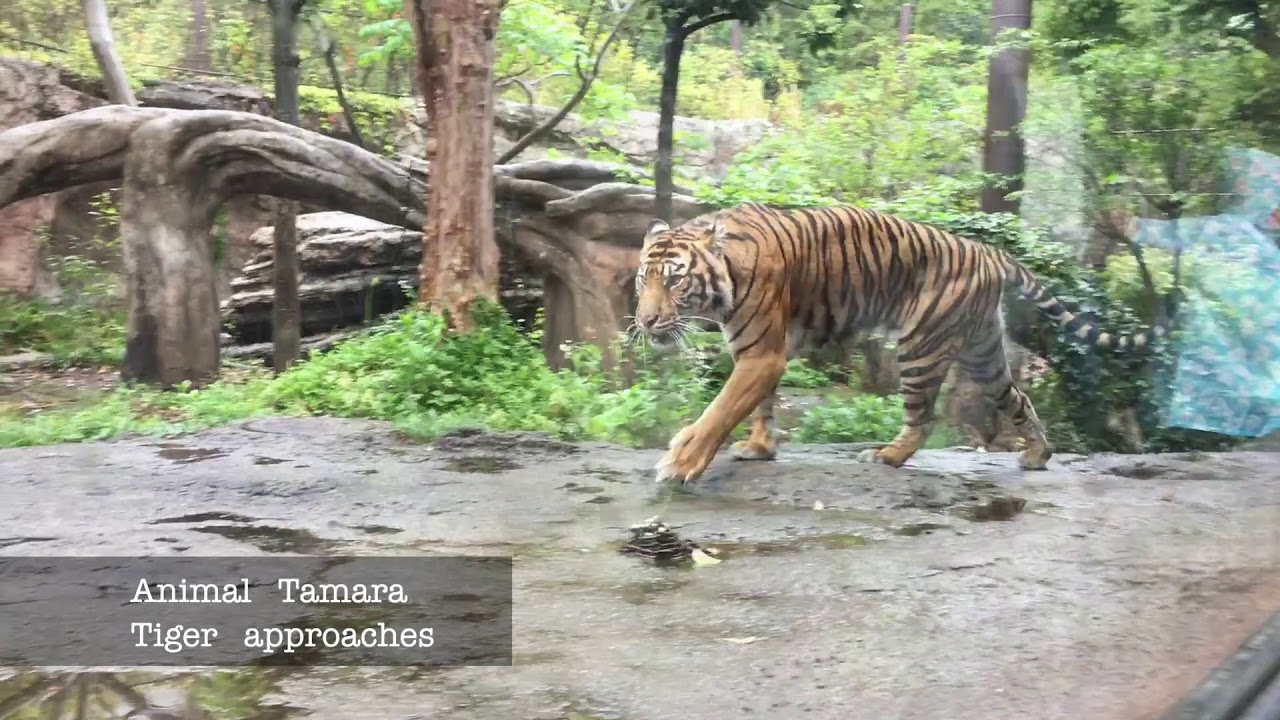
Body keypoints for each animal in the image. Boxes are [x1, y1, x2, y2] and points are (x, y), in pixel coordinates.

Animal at [631, 201, 1165, 485]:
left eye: (675, 280)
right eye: (643, 280)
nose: (646, 319)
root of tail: (989, 250)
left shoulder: (762, 354)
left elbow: (719, 411)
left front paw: (680, 463)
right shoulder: (755, 353)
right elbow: (759, 407)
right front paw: (760, 448)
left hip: (920, 348)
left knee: (923, 419)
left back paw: (885, 456)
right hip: (984, 353)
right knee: (1019, 398)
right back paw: (1036, 455)